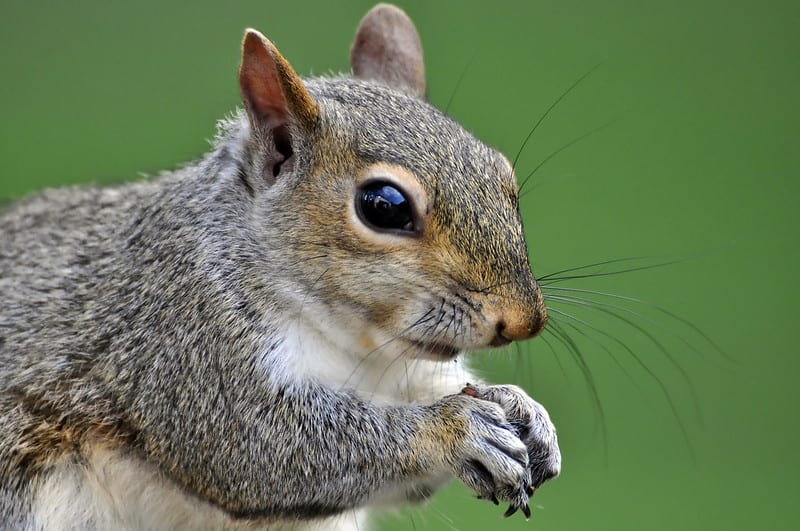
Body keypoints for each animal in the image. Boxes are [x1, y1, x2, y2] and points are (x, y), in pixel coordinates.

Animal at [0, 4, 560, 530]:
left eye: (500, 171)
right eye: (383, 206)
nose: (523, 320)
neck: (356, 345)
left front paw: (522, 409)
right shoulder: (187, 343)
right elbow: (264, 448)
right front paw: (456, 429)